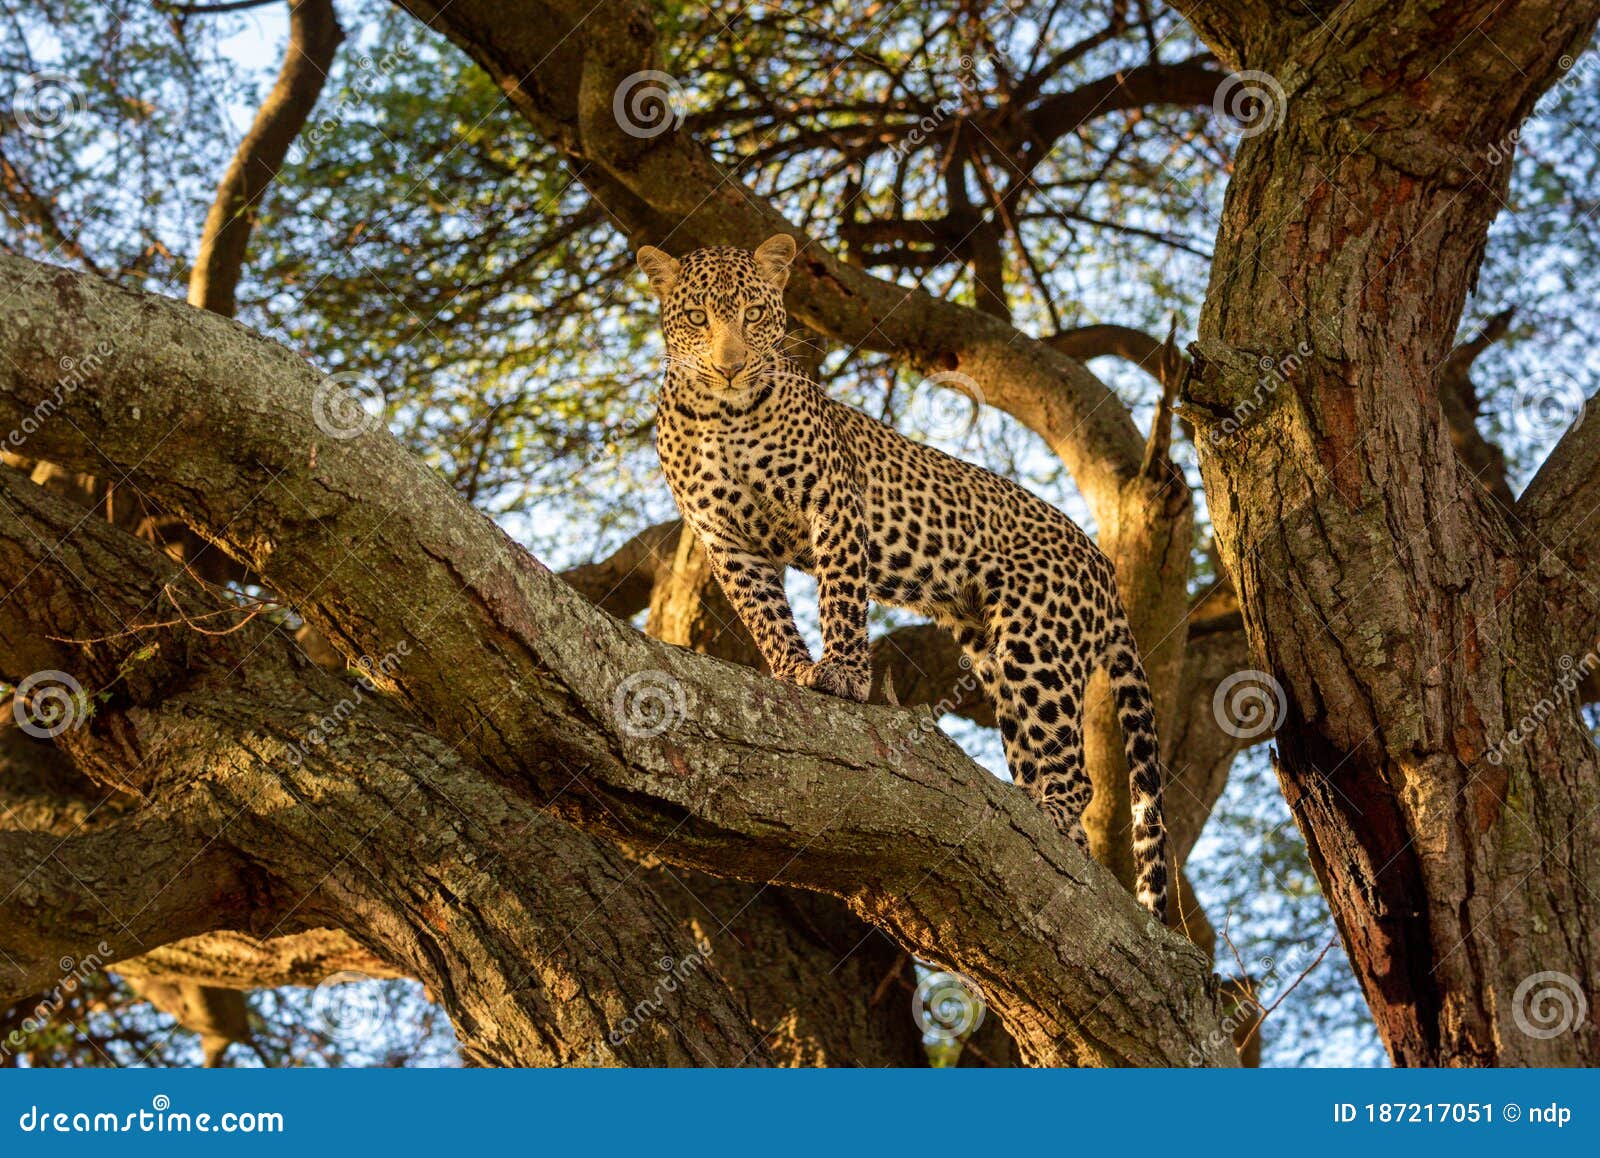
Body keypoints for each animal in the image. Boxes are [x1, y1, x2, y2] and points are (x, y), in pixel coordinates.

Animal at [637, 234, 1169, 920]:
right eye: (697, 318)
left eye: (753, 314)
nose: (730, 367)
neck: (719, 415)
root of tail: (1104, 568)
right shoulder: (725, 541)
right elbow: (766, 616)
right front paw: (792, 670)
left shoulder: (835, 502)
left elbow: (840, 596)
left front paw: (842, 675)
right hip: (996, 655)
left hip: (1039, 644)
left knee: (1078, 779)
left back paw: (1050, 813)